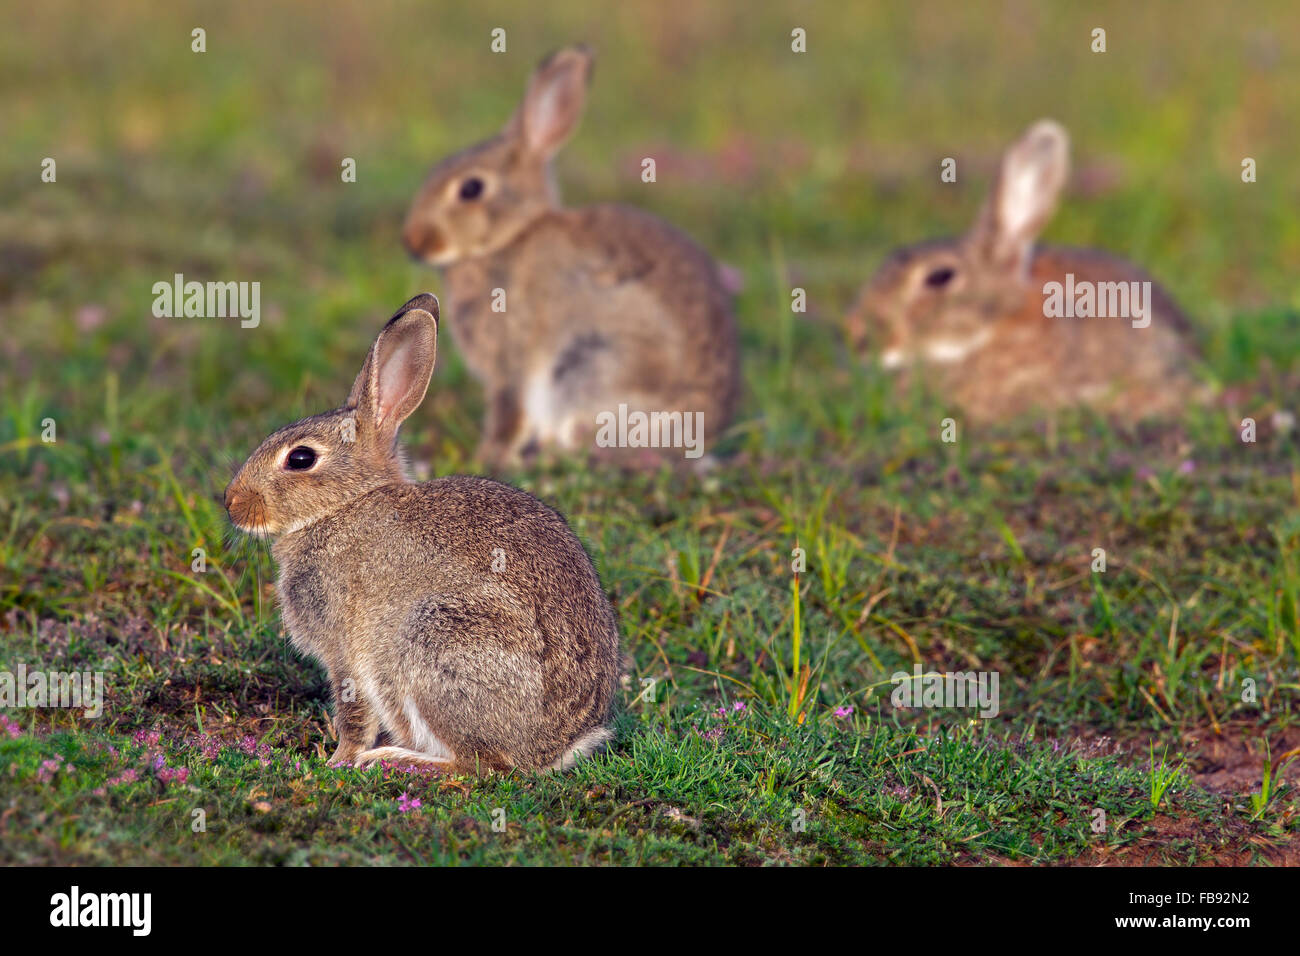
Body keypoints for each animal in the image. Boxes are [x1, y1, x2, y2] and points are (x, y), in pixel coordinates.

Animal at [223, 293, 622, 773]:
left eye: (300, 459)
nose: (231, 502)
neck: (343, 505)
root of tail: (555, 747)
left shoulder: (346, 651)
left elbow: (353, 713)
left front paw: (340, 760)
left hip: (433, 642)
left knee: (481, 764)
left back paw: (390, 758)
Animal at [401, 45, 739, 468]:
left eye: (471, 189)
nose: (412, 243)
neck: (510, 238)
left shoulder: (513, 355)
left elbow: (509, 410)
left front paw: (489, 456)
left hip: (590, 363)